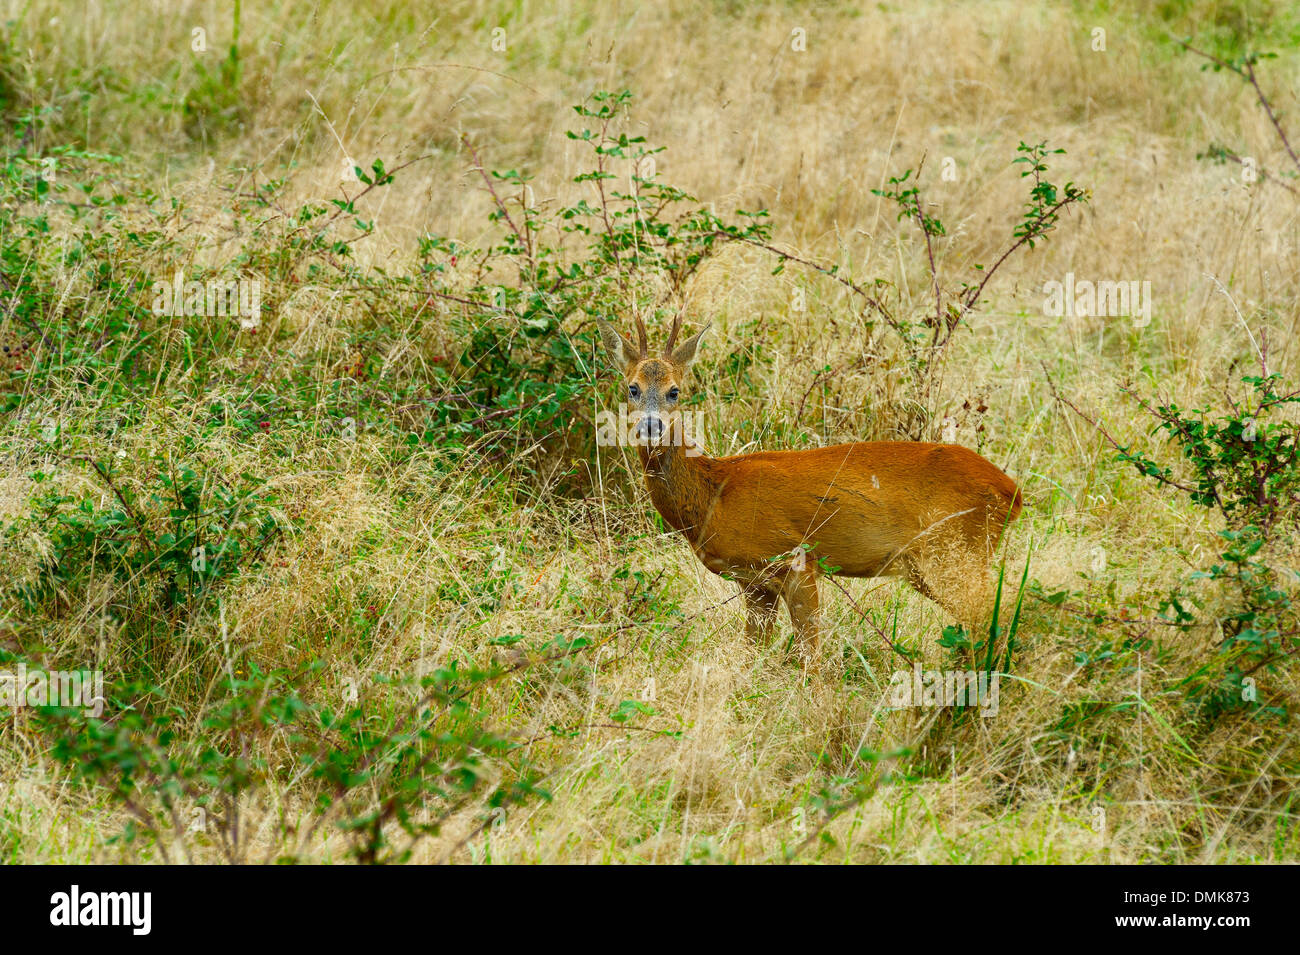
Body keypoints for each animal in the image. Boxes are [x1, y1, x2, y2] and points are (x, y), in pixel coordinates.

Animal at [596, 314, 1023, 665]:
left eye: (674, 390)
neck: (714, 493)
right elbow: (752, 656)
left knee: (1000, 617)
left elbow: (809, 656)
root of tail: (1013, 492)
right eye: (632, 388)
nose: (651, 427)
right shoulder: (754, 584)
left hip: (953, 553)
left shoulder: (795, 559)